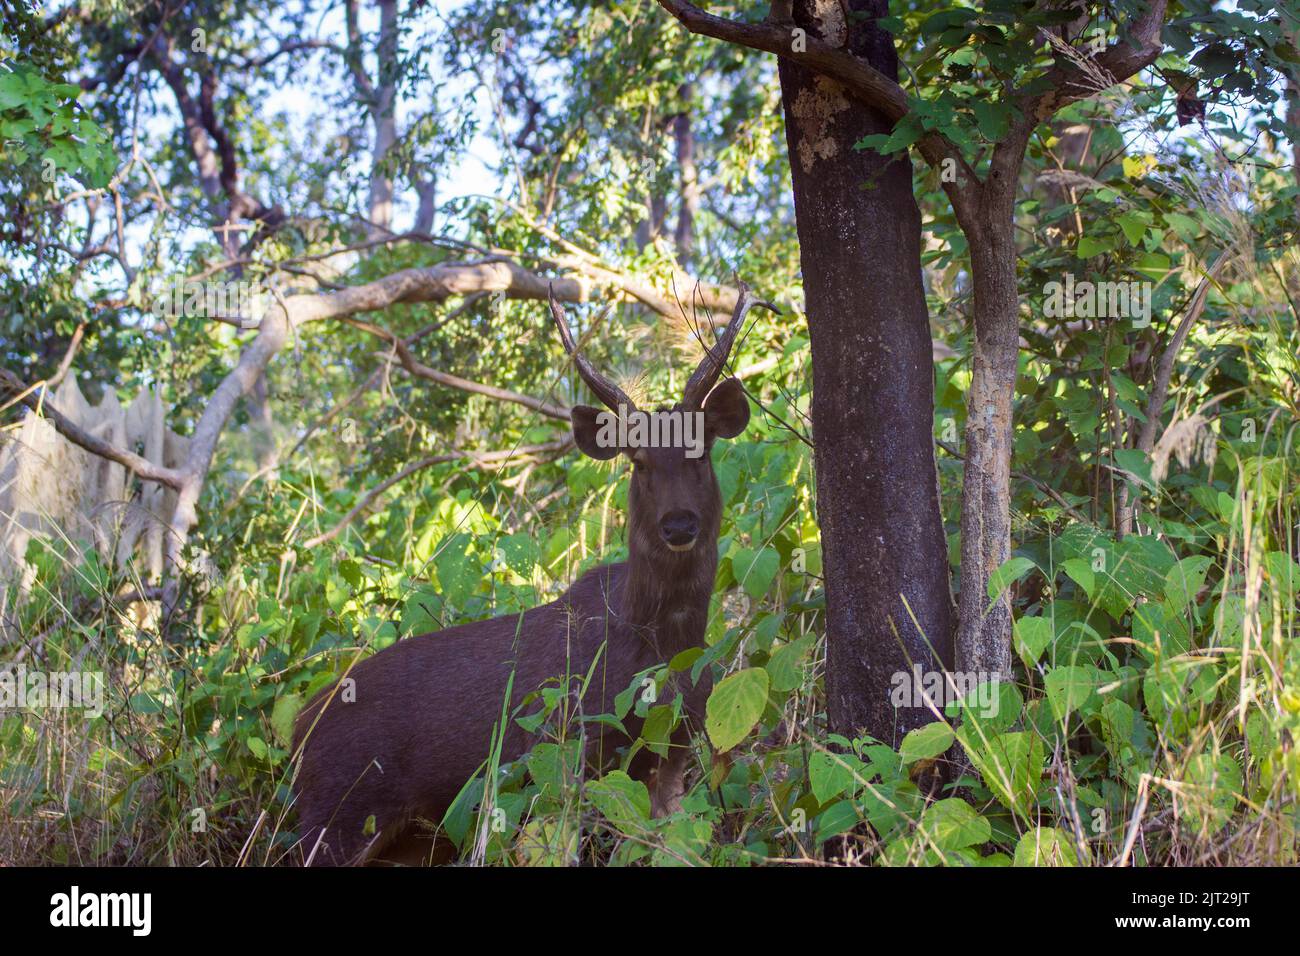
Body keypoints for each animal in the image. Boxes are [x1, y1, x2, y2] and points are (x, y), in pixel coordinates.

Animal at [291, 283, 773, 865]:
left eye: (700, 452)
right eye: (637, 461)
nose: (679, 523)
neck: (658, 648)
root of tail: (294, 735)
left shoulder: (678, 739)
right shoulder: (562, 737)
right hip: (339, 812)